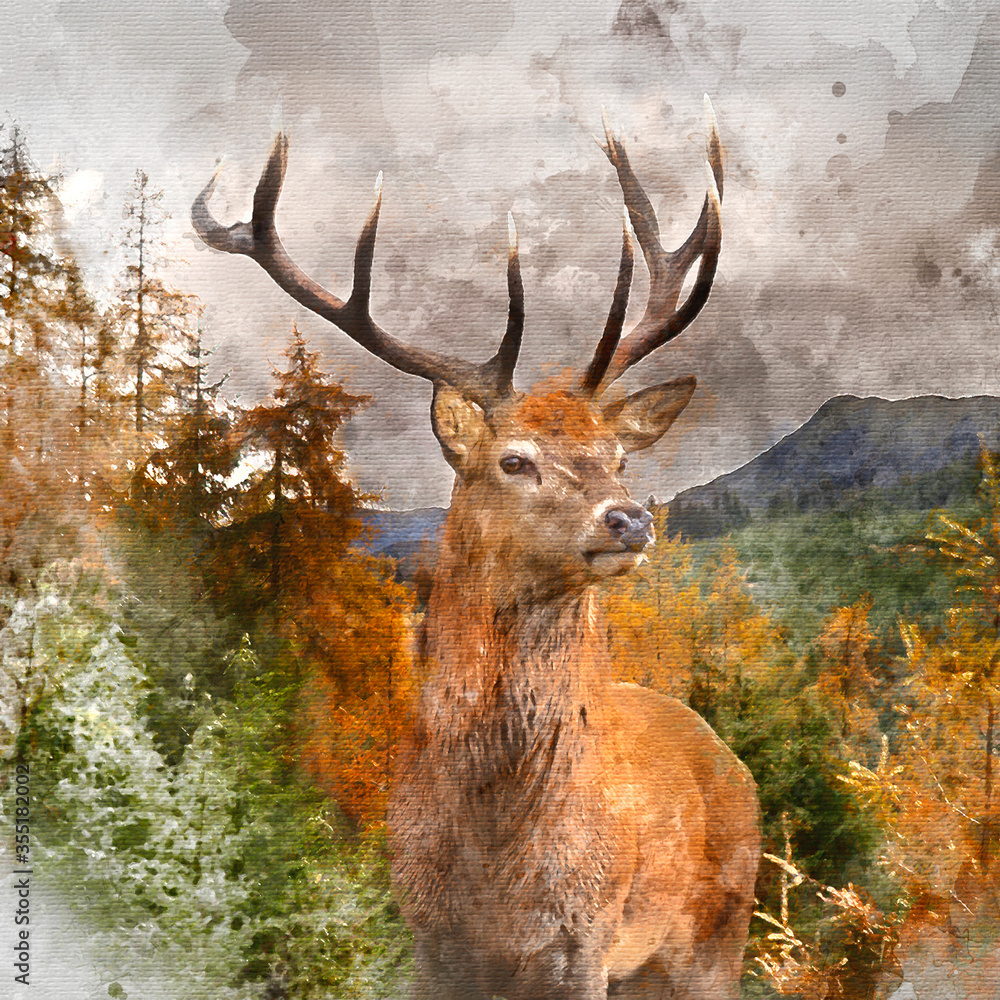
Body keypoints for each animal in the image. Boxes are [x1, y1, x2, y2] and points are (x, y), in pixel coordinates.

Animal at [193, 98, 761, 1000]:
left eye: (620, 456)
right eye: (515, 460)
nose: (630, 520)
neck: (495, 866)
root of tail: (730, 760)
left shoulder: (585, 943)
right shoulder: (426, 937)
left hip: (715, 937)